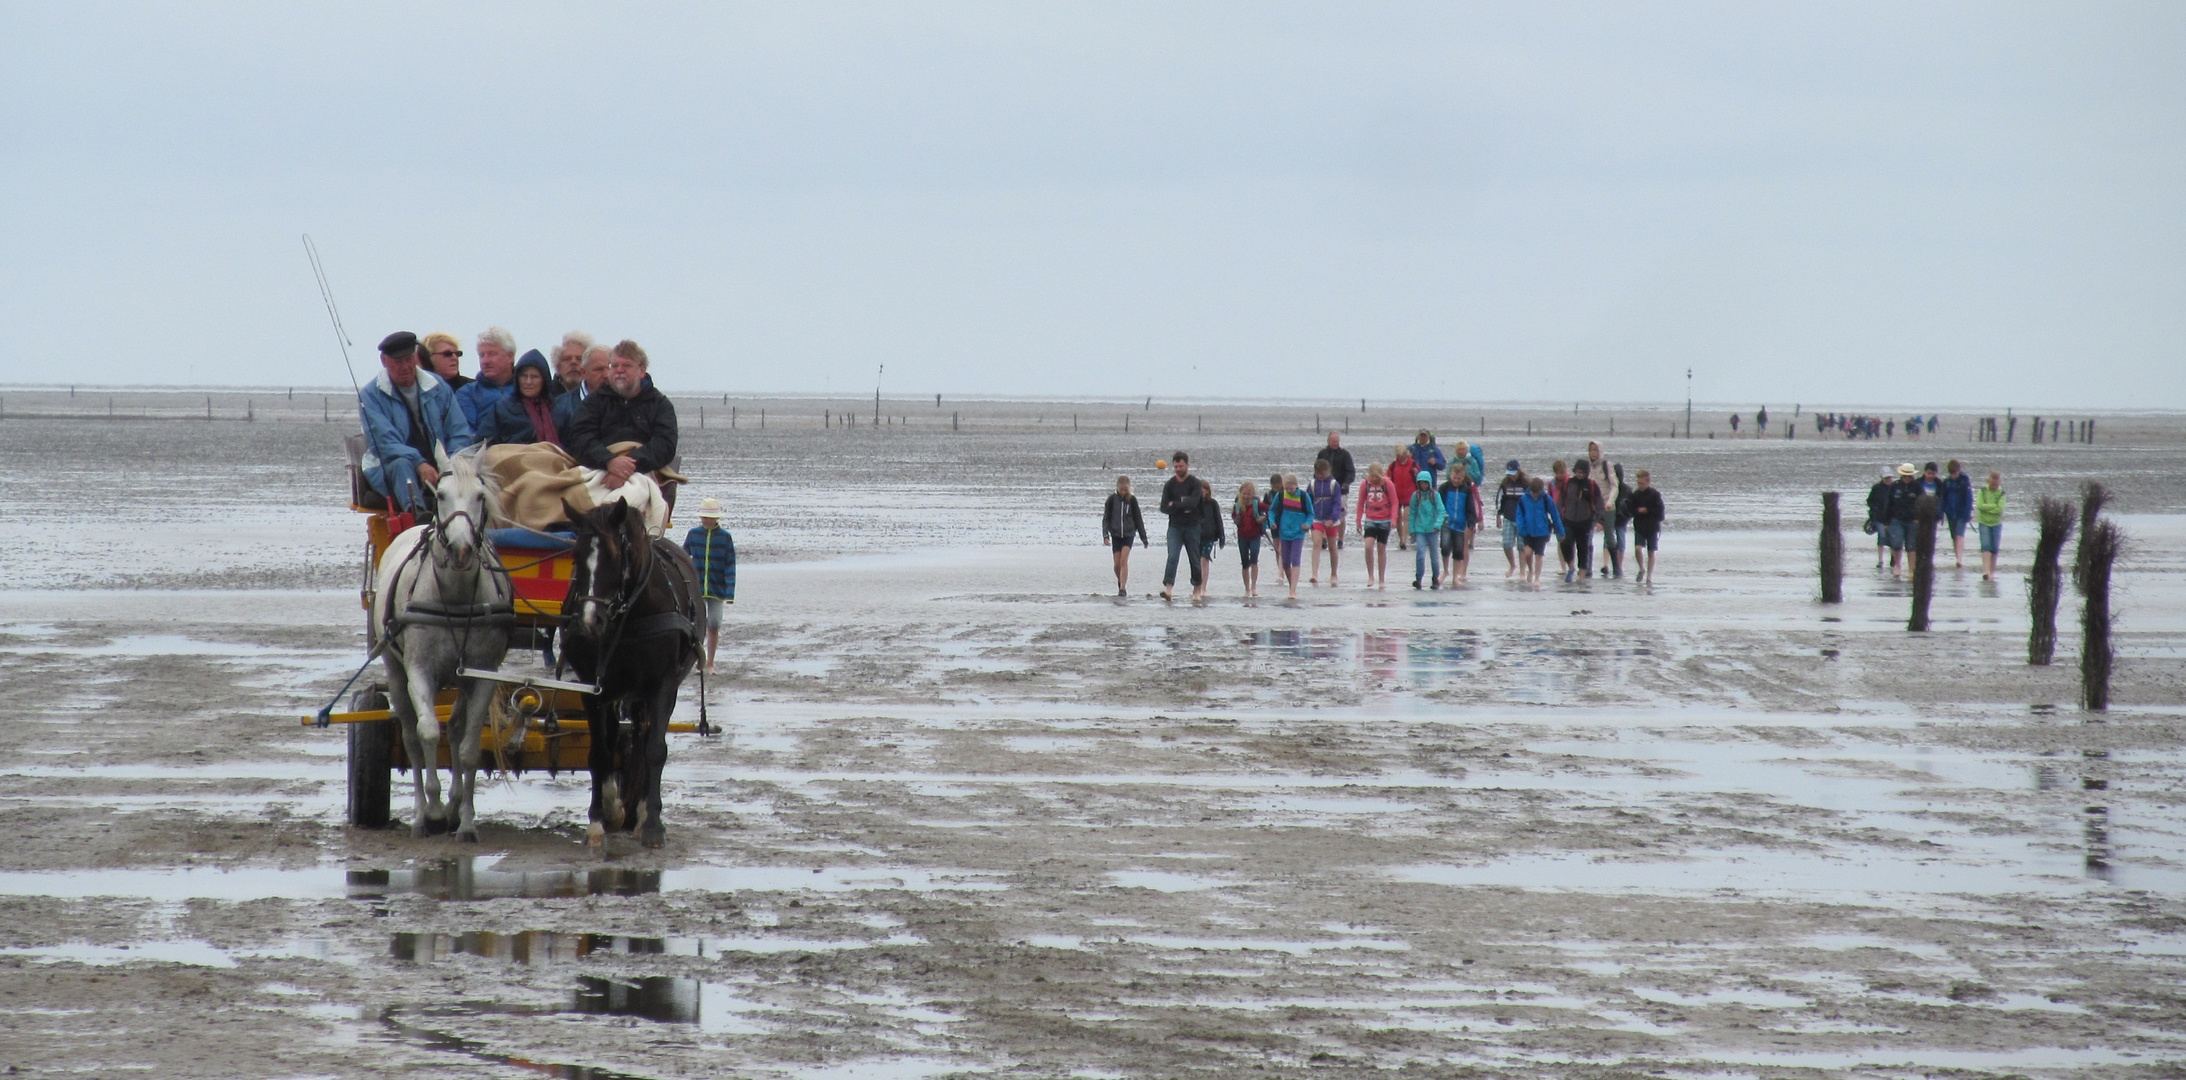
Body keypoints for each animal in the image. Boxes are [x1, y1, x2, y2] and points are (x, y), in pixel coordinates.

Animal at [375, 443, 515, 839]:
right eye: (440, 494)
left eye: (480, 496)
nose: (461, 550)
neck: (453, 597)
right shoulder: (419, 670)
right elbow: (427, 733)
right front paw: (433, 810)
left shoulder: (482, 674)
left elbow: (468, 747)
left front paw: (464, 819)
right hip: (394, 669)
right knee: (409, 734)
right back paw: (423, 812)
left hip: (461, 680)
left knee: (454, 729)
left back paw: (453, 807)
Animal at [563, 500, 699, 852]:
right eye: (575, 555)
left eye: (613, 555)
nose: (589, 621)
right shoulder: (593, 687)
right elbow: (599, 753)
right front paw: (599, 819)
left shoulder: (662, 687)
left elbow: (655, 750)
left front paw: (651, 824)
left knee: (643, 739)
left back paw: (641, 810)